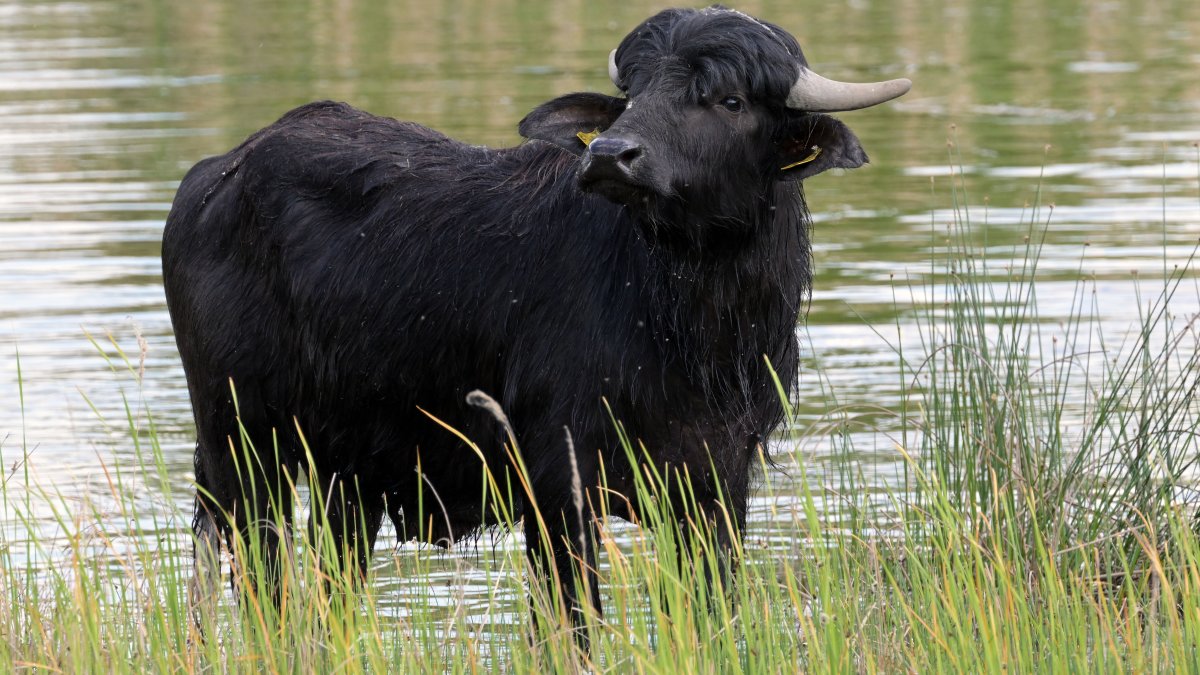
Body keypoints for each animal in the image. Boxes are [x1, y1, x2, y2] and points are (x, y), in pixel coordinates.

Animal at [163, 6, 909, 629]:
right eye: (634, 94)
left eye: (729, 99)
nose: (609, 156)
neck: (690, 323)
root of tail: (218, 176)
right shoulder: (554, 486)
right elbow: (570, 626)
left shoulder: (717, 486)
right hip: (240, 442)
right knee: (254, 576)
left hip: (346, 472)